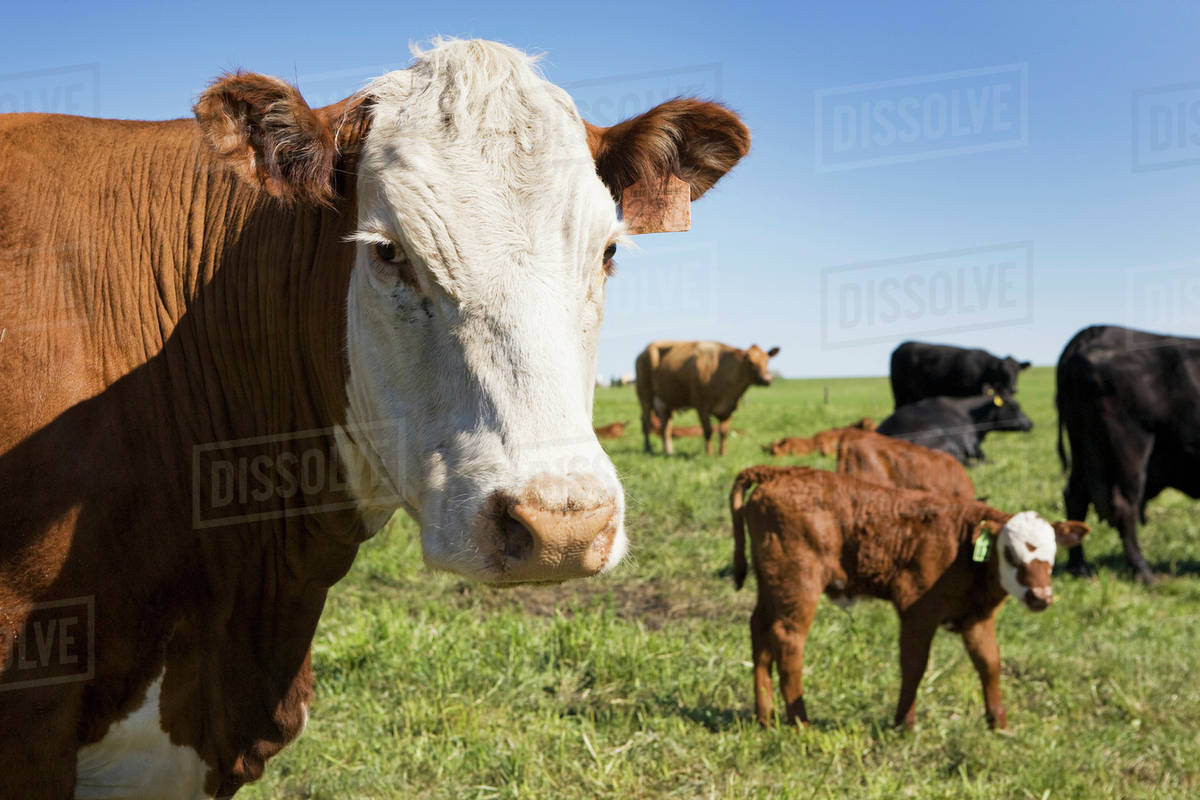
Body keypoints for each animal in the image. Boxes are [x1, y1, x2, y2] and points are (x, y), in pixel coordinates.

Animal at [635, 341, 779, 455]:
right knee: (646, 422)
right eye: (750, 362)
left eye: (767, 361)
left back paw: (669, 451)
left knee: (666, 426)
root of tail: (644, 350)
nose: (768, 379)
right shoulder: (702, 407)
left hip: (665, 401)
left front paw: (722, 453)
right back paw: (648, 448)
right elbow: (708, 431)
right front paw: (709, 453)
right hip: (645, 395)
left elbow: (723, 432)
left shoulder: (728, 409)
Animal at [729, 466, 1088, 730]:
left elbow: (989, 664)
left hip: (772, 582)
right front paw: (905, 723)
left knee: (759, 631)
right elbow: (914, 665)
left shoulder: (976, 617)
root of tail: (779, 473)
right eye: (1011, 555)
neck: (964, 548)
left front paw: (998, 723)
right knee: (788, 641)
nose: (1041, 596)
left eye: (1052, 555)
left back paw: (764, 717)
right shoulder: (917, 609)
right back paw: (801, 723)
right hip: (798, 583)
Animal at [1057, 325, 1200, 583]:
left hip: (1085, 452)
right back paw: (1144, 573)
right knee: (1124, 507)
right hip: (1129, 449)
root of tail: (1097, 331)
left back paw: (1078, 566)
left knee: (1075, 498)